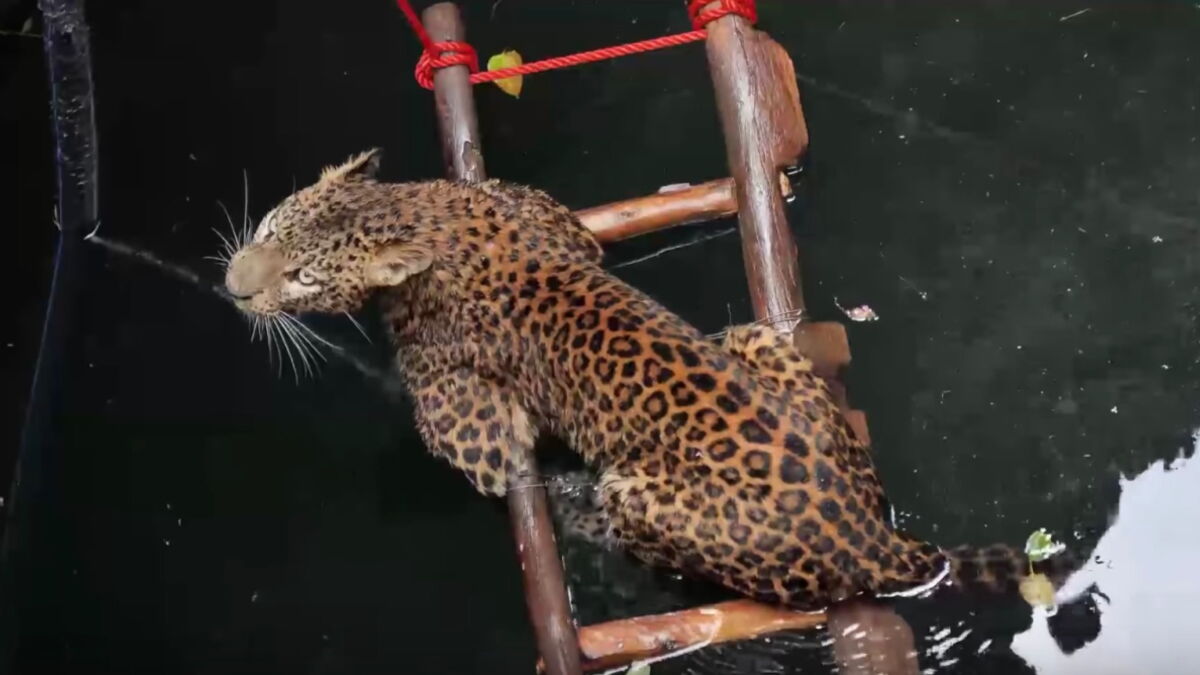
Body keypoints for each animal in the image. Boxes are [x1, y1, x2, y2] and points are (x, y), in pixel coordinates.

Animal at [222, 148, 1077, 611]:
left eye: (300, 276)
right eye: (266, 228)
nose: (233, 286)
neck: (426, 216)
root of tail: (877, 539)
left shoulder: (463, 411)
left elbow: (476, 443)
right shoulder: (544, 213)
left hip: (641, 494)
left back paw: (575, 505)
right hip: (751, 337)